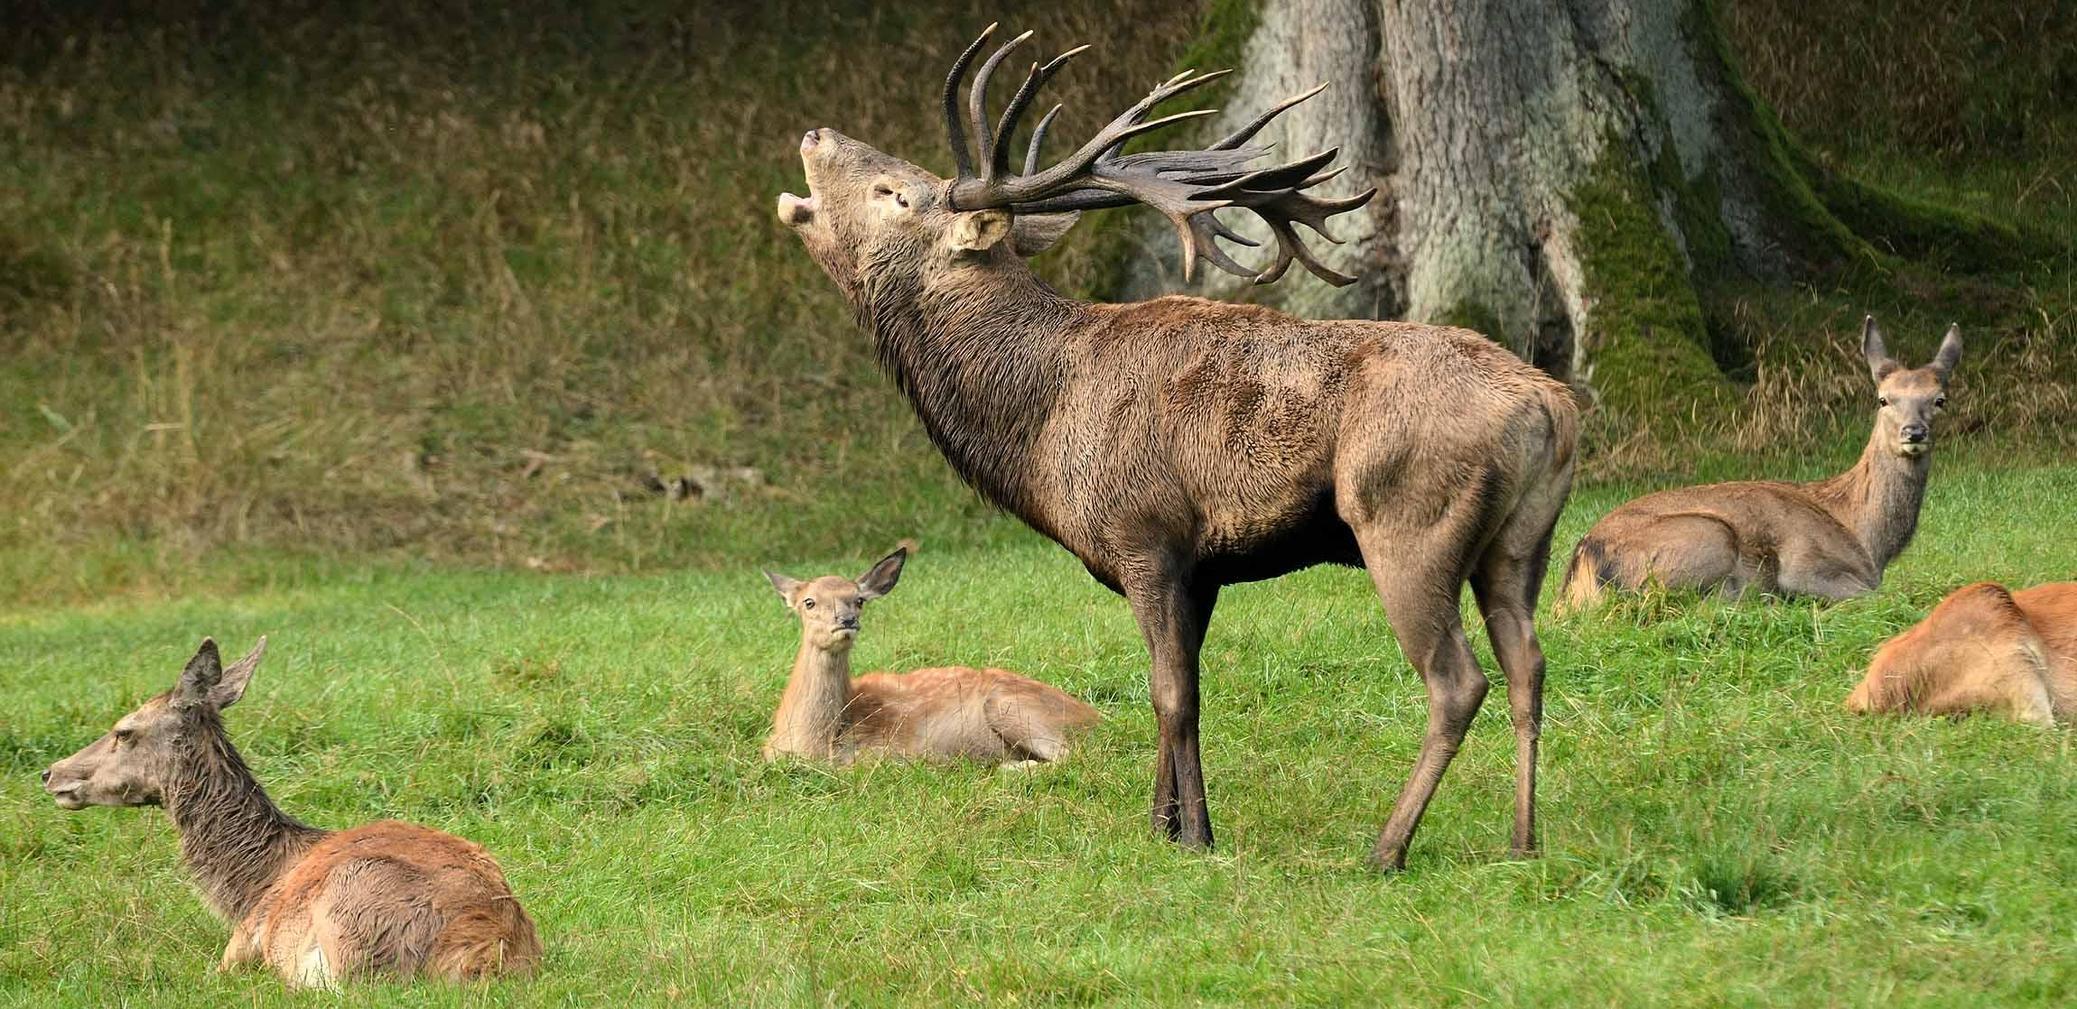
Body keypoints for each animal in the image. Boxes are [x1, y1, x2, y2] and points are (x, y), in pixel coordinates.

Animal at [40, 637, 542, 988]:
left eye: (124, 731)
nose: (51, 773)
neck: (249, 888)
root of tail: (484, 951)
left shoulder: (240, 944)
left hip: (350, 918)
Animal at [762, 546, 1102, 765]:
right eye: (808, 602)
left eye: (859, 600)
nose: (847, 620)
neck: (813, 742)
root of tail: (1095, 719)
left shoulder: (884, 754)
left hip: (1011, 706)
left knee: (1070, 756)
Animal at [1560, 317, 1962, 610]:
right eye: (1883, 399)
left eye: (1939, 399)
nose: (1914, 432)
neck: (1866, 539)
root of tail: (1581, 568)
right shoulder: (1804, 563)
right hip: (1708, 536)